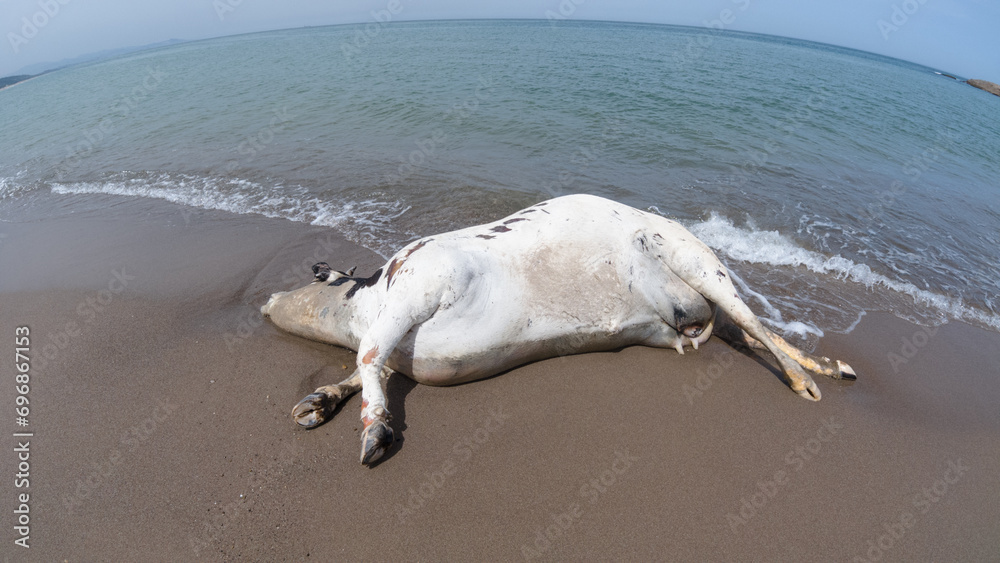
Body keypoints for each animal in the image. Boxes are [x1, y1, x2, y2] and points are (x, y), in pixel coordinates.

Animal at [261, 194, 855, 465]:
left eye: (313, 278)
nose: (265, 300)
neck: (368, 302)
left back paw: (811, 377)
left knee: (760, 326)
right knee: (741, 331)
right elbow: (371, 365)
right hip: (695, 306)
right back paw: (826, 367)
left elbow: (368, 359)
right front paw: (320, 399)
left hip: (700, 262)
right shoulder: (400, 343)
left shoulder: (421, 280)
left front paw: (374, 428)